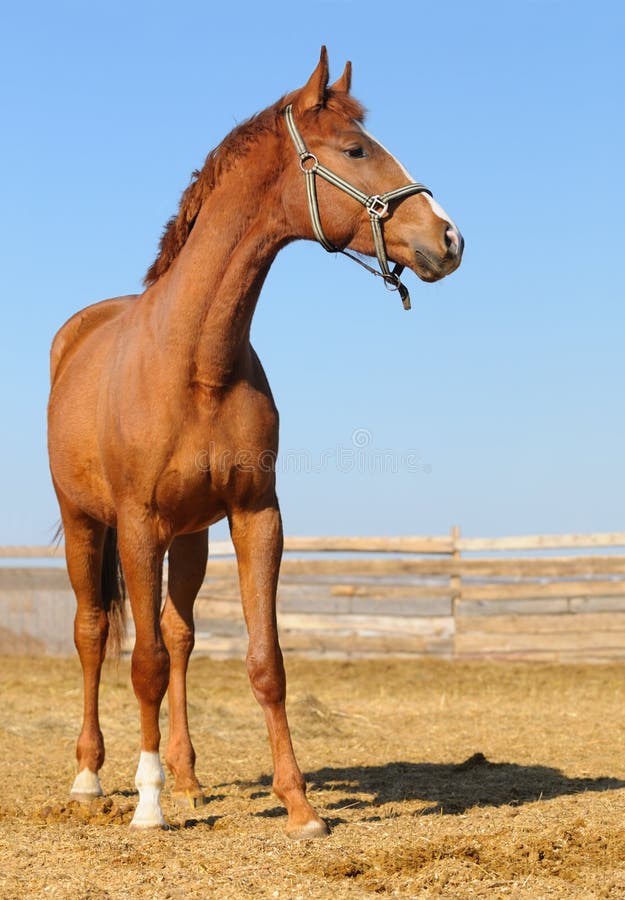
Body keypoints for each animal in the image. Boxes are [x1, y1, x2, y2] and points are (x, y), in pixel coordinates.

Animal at [47, 47, 463, 837]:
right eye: (355, 150)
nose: (449, 239)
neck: (196, 361)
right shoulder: (138, 525)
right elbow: (140, 662)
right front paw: (146, 806)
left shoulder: (254, 516)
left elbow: (263, 660)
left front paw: (299, 805)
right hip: (88, 524)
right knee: (91, 633)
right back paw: (91, 778)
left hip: (190, 537)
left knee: (178, 634)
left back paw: (187, 780)